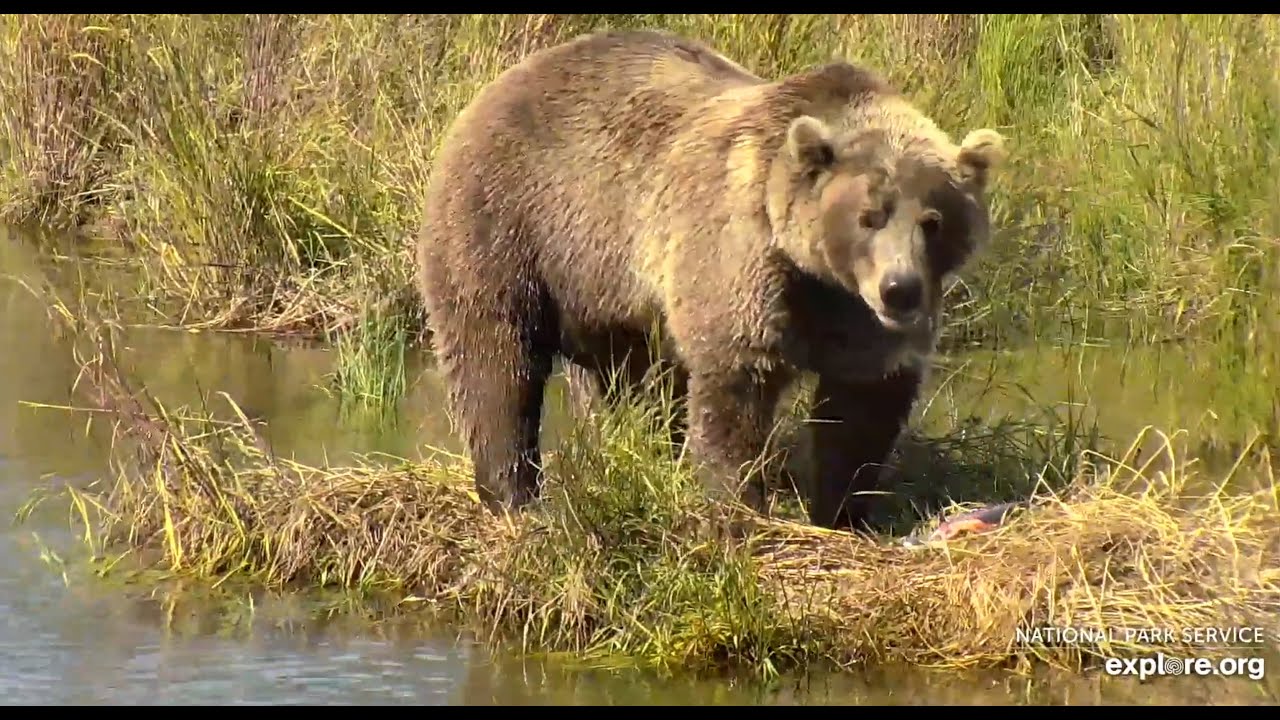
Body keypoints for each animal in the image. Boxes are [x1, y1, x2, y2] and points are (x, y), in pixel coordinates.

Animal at [414, 29, 1007, 531]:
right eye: (869, 215)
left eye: (933, 220)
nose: (899, 289)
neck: (817, 275)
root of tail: (506, 81)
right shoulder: (740, 260)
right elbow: (733, 384)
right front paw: (738, 505)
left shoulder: (857, 321)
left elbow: (862, 406)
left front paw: (841, 511)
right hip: (515, 224)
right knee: (495, 359)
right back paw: (511, 493)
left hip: (611, 299)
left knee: (633, 381)